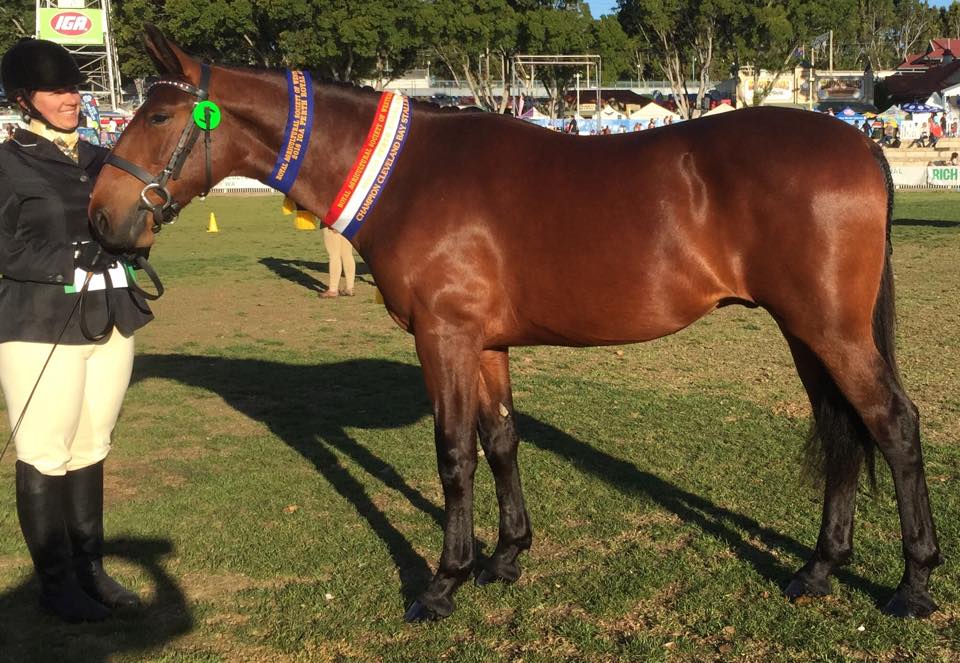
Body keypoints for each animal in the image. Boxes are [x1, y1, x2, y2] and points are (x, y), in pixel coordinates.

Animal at [89, 26, 942, 622]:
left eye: (157, 113)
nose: (102, 216)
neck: (406, 173)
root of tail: (859, 143)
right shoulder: (485, 341)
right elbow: (500, 440)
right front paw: (506, 557)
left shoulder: (443, 336)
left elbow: (453, 455)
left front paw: (443, 582)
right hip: (806, 330)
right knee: (843, 430)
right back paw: (819, 568)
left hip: (831, 329)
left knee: (892, 423)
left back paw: (913, 581)